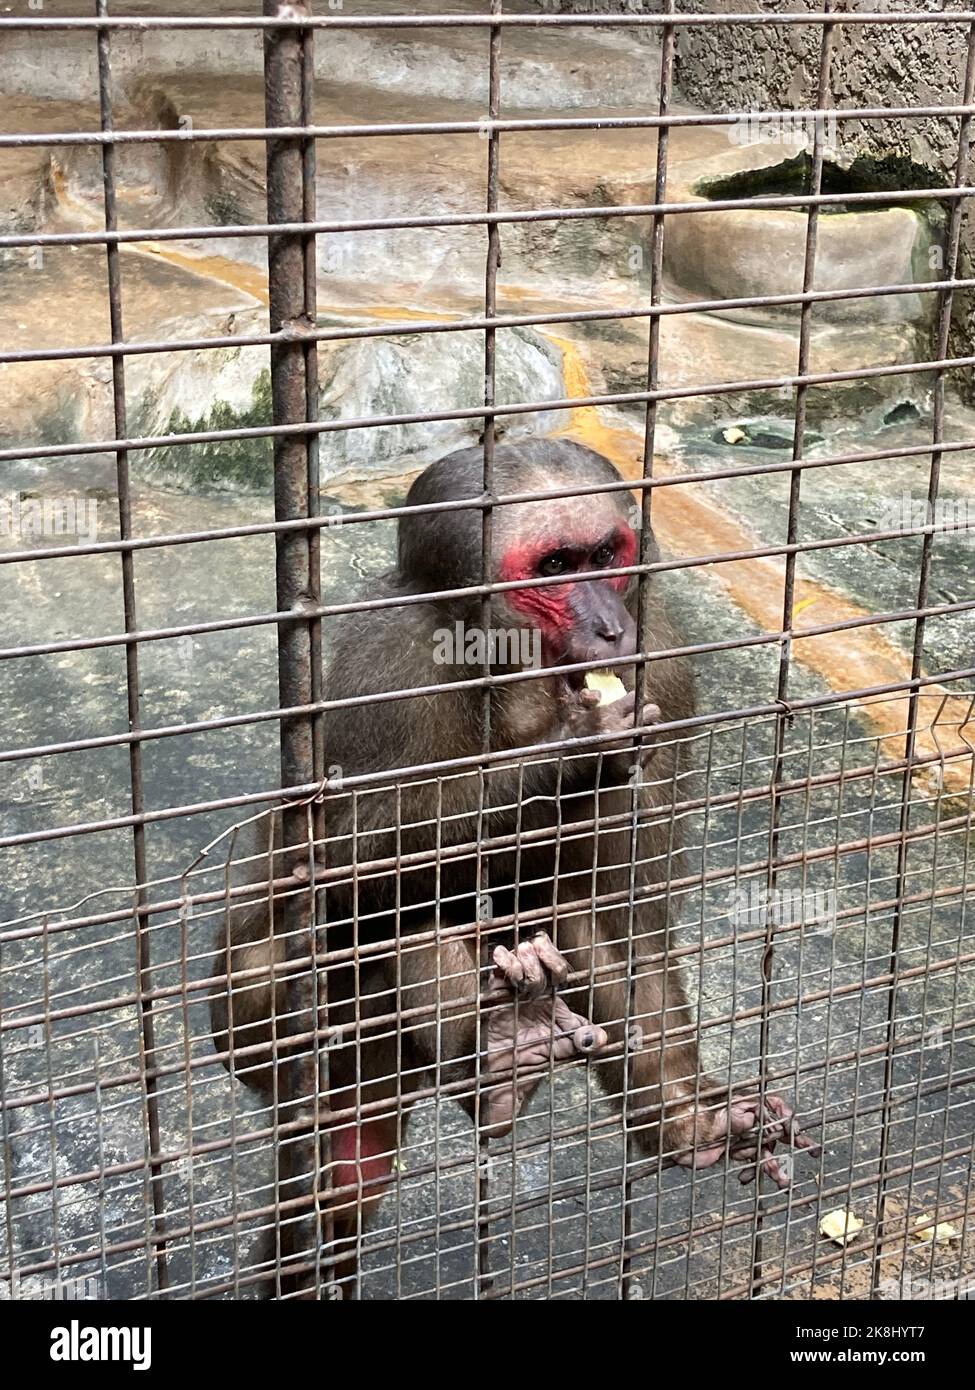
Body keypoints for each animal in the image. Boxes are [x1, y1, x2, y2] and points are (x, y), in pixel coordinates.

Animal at [209, 438, 818, 1295]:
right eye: (554, 566)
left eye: (603, 555)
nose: (607, 627)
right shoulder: (385, 664)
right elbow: (335, 866)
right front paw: (563, 761)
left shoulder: (661, 657)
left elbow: (616, 907)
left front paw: (691, 1123)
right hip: (273, 1044)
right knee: (365, 933)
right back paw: (493, 1056)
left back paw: (506, 1064)